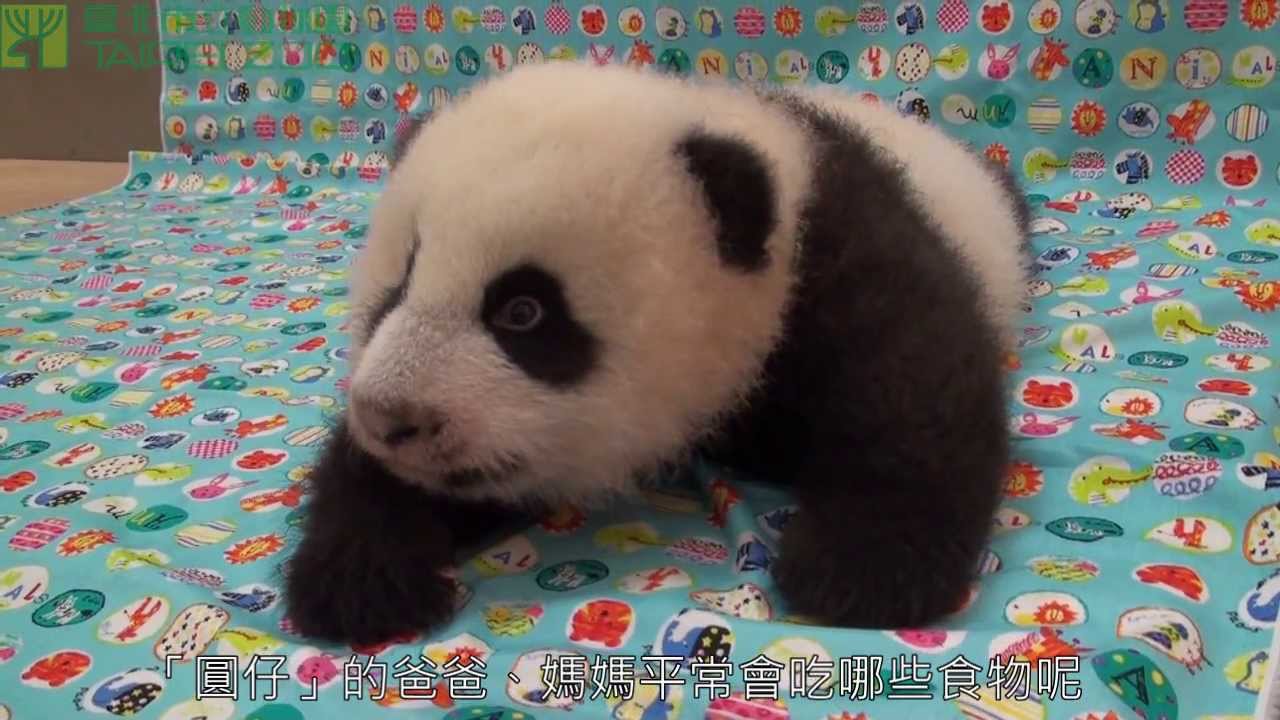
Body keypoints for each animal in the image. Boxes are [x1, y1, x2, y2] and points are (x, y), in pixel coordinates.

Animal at [284, 62, 1031, 645]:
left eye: (523, 312)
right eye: (399, 284)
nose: (392, 418)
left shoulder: (843, 256)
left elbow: (916, 391)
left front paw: (858, 571)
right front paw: (362, 577)